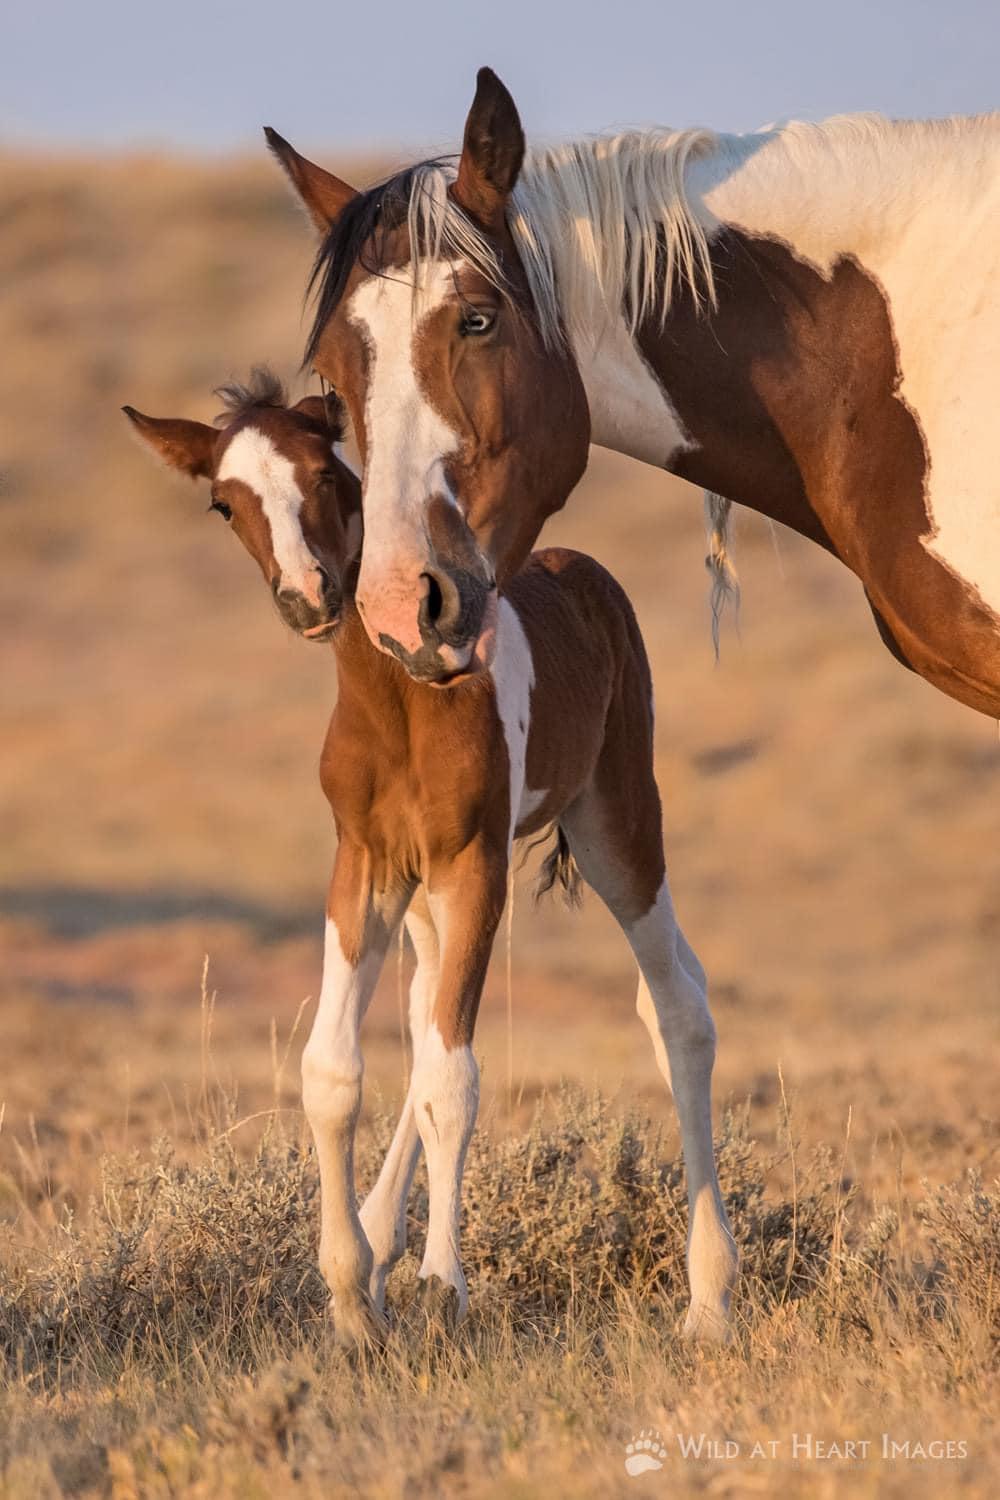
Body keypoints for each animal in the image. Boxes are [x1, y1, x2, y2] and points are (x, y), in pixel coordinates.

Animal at [123, 371, 739, 1345]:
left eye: (325, 473)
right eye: (225, 503)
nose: (310, 597)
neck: (401, 704)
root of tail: (583, 569)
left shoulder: (472, 865)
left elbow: (455, 1076)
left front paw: (442, 1286)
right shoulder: (366, 866)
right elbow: (337, 1070)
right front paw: (351, 1298)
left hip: (618, 825)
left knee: (677, 1005)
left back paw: (709, 1299)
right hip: (422, 902)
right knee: (422, 1020)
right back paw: (380, 1240)